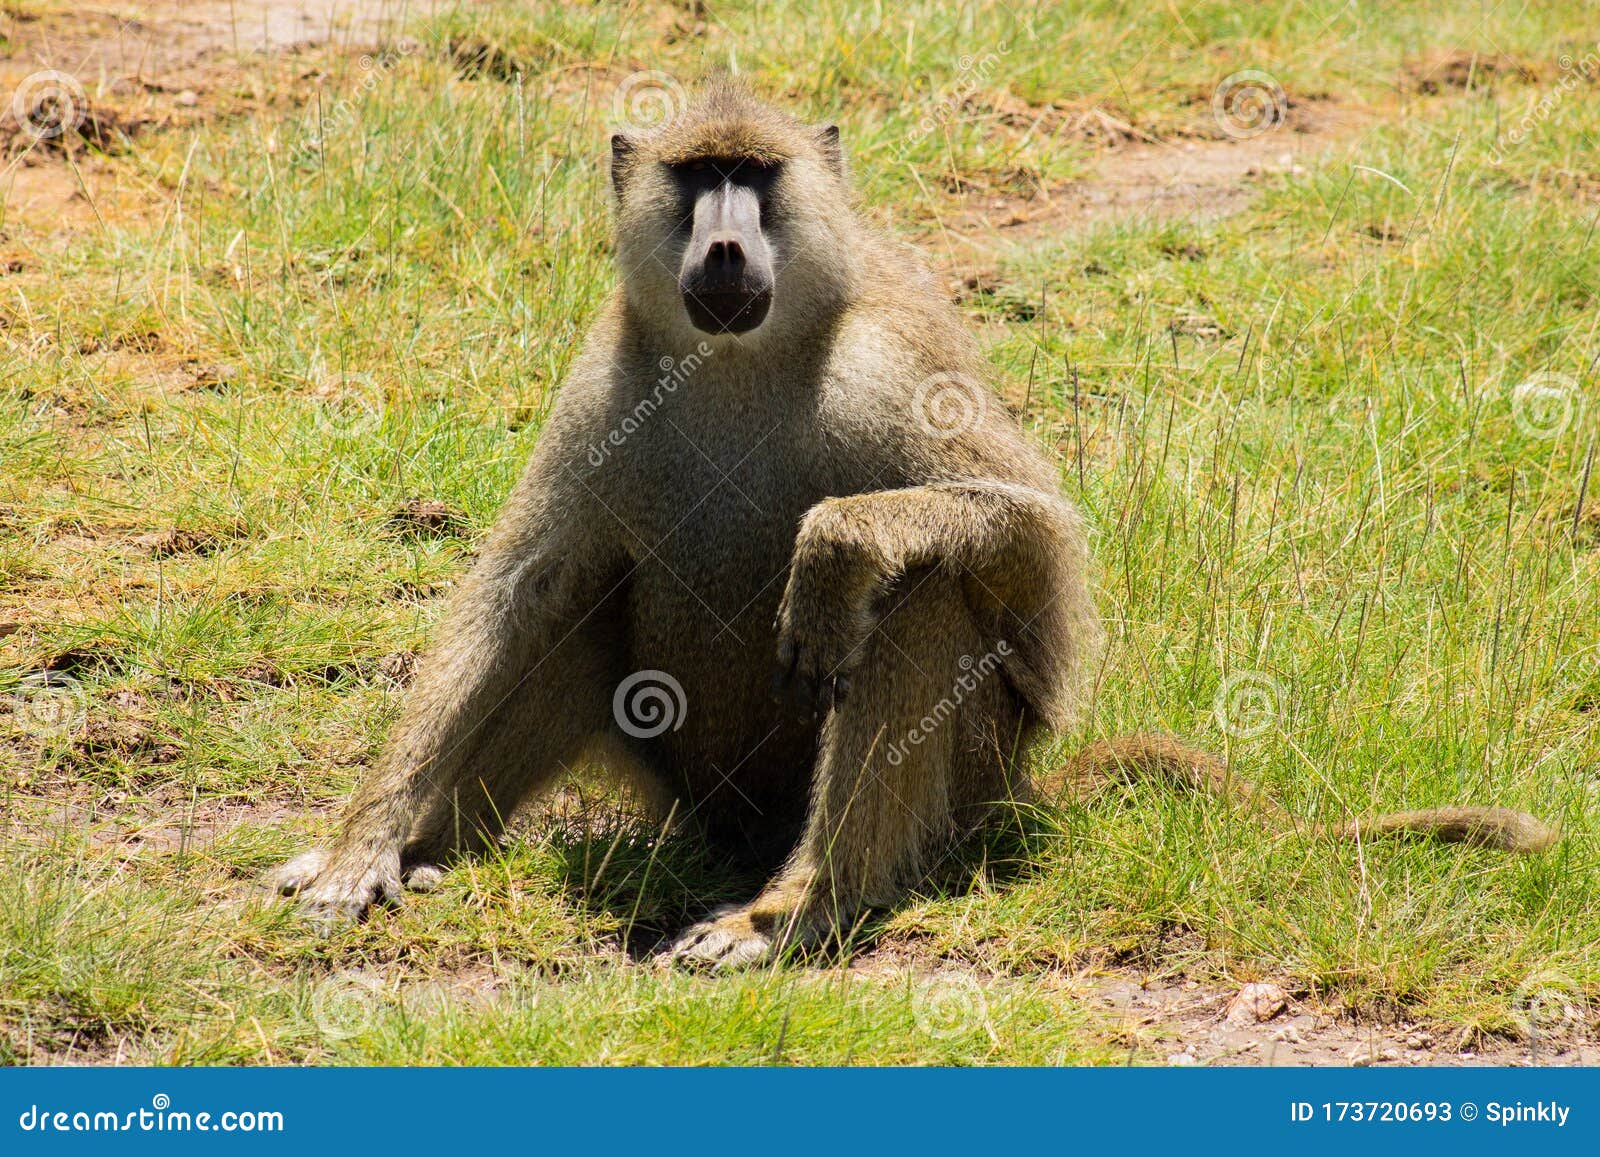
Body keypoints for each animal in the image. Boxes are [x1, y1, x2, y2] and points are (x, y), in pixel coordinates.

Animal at [266, 81, 1555, 968]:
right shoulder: (603, 385)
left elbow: (1034, 544)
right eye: (696, 176)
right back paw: (432, 854)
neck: (744, 359)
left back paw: (793, 908)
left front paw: (832, 552)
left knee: (922, 596)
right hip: (693, 791)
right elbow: (524, 589)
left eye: (757, 174)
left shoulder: (895, 363)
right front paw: (363, 844)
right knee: (589, 604)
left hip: (970, 780)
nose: (724, 245)